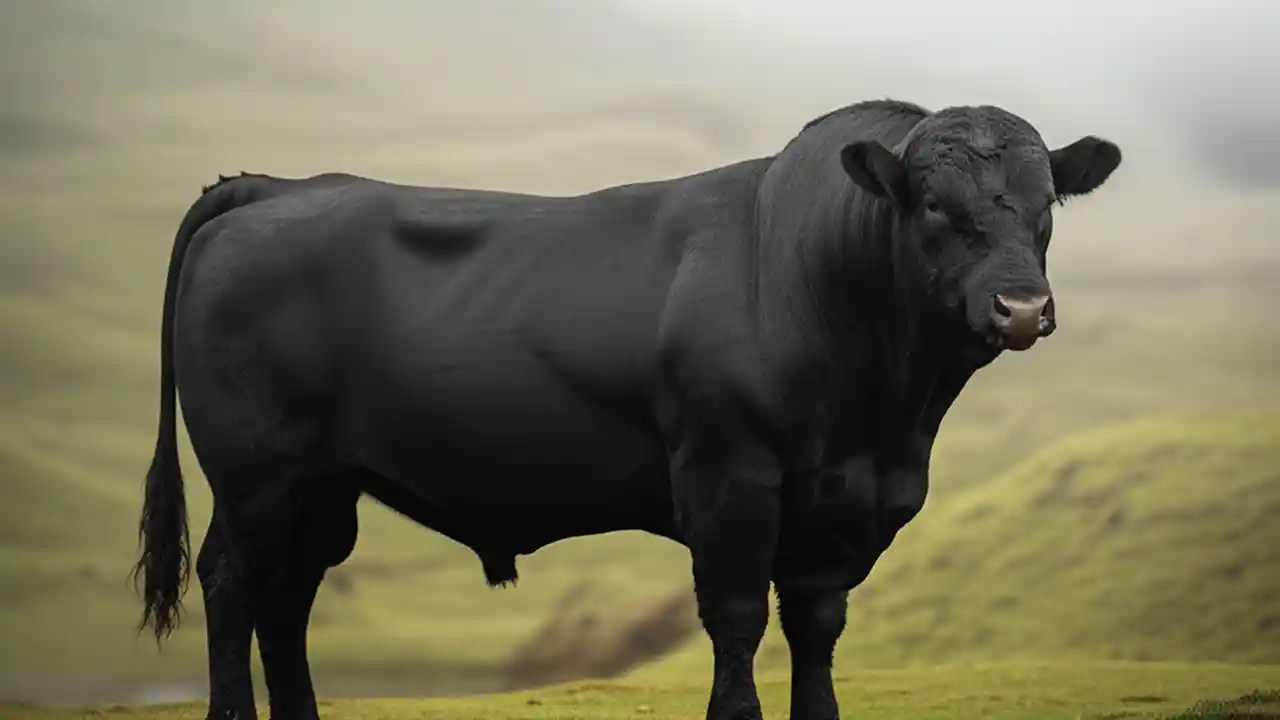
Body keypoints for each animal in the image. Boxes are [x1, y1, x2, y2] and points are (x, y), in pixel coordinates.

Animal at [133, 99, 1121, 720]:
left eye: (1047, 204)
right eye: (931, 203)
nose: (1022, 307)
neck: (882, 417)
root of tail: (277, 186)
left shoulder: (841, 509)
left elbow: (817, 635)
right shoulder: (729, 479)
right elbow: (735, 622)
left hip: (322, 488)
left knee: (287, 597)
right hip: (256, 474)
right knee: (234, 584)